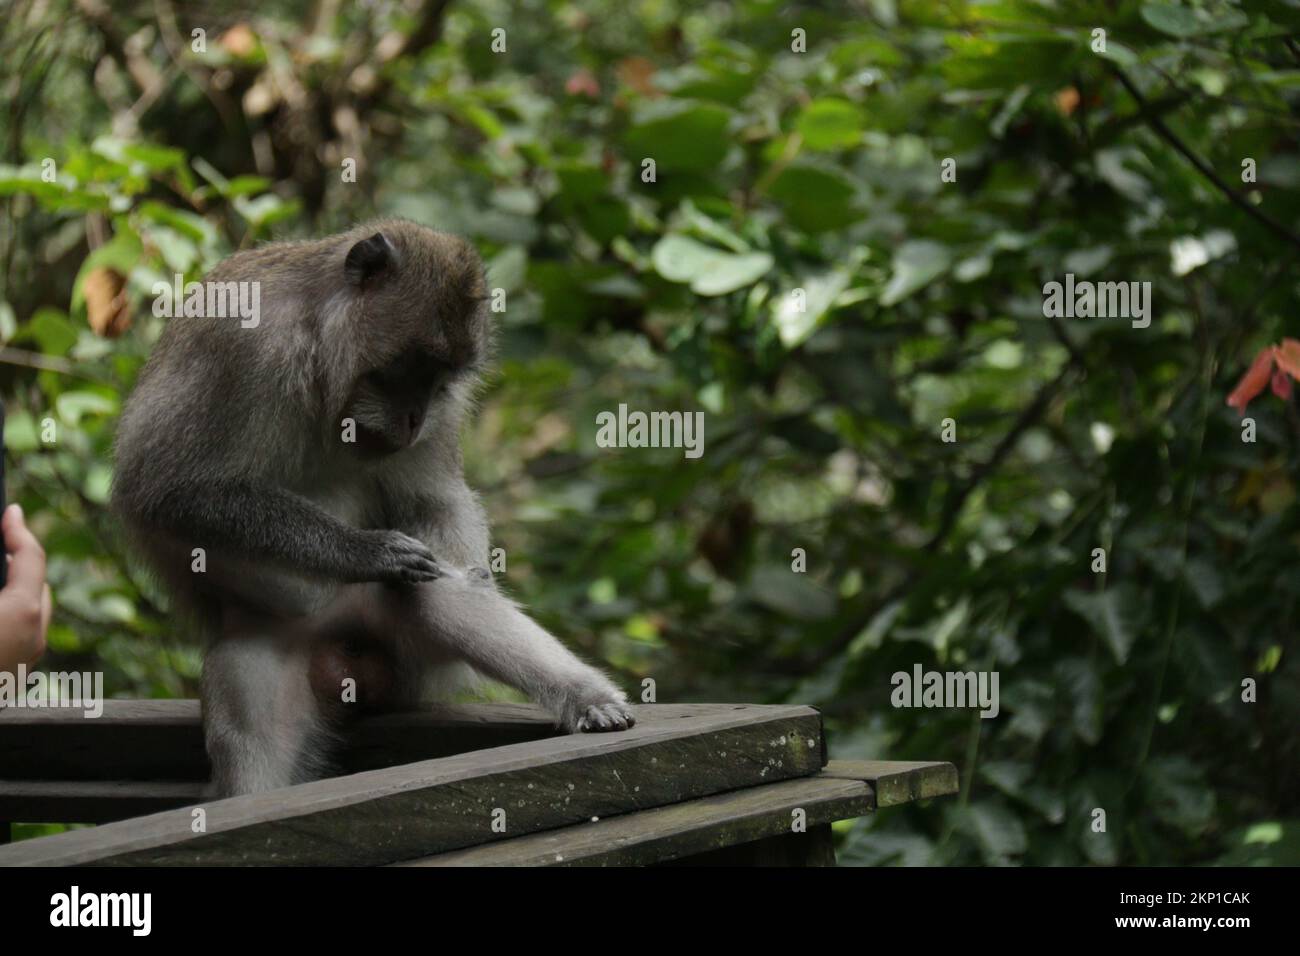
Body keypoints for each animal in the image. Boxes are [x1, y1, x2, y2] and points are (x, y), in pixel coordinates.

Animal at [112, 219, 634, 797]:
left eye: (443, 379)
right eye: (413, 366)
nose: (415, 418)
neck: (317, 352)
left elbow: (436, 501)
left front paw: (467, 569)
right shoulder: (240, 346)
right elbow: (169, 489)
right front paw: (363, 550)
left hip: (415, 666)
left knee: (432, 596)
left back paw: (587, 698)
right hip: (270, 647)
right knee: (252, 724)